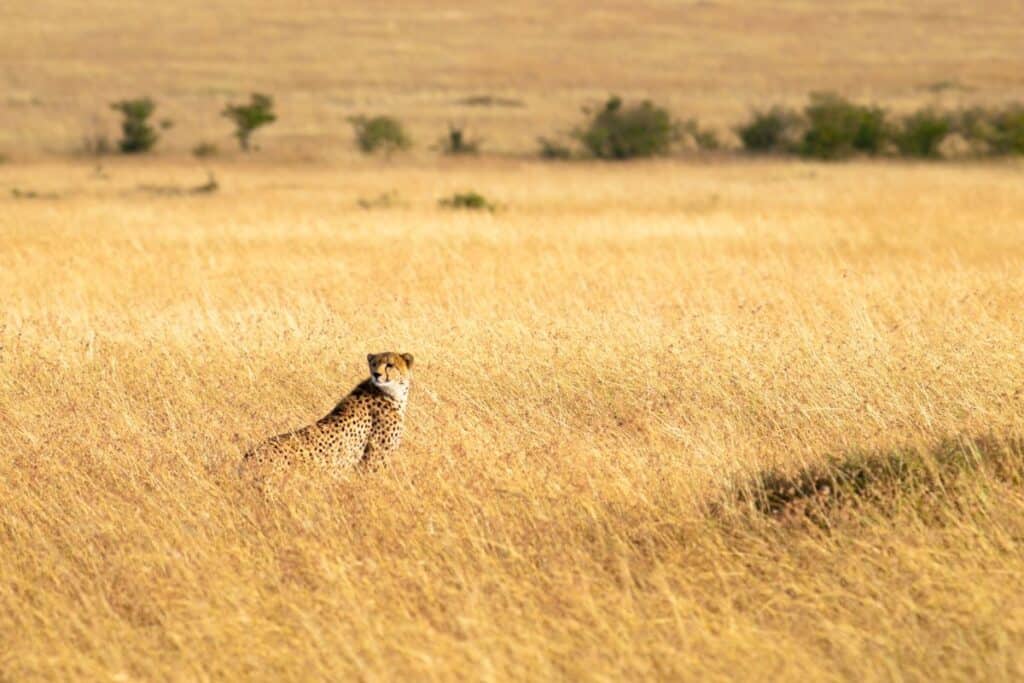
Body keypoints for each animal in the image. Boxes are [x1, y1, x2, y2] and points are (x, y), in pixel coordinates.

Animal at [240, 351, 414, 496]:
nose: (376, 374)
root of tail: (248, 456)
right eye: (374, 364)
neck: (390, 393)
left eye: (390, 365)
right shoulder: (373, 462)